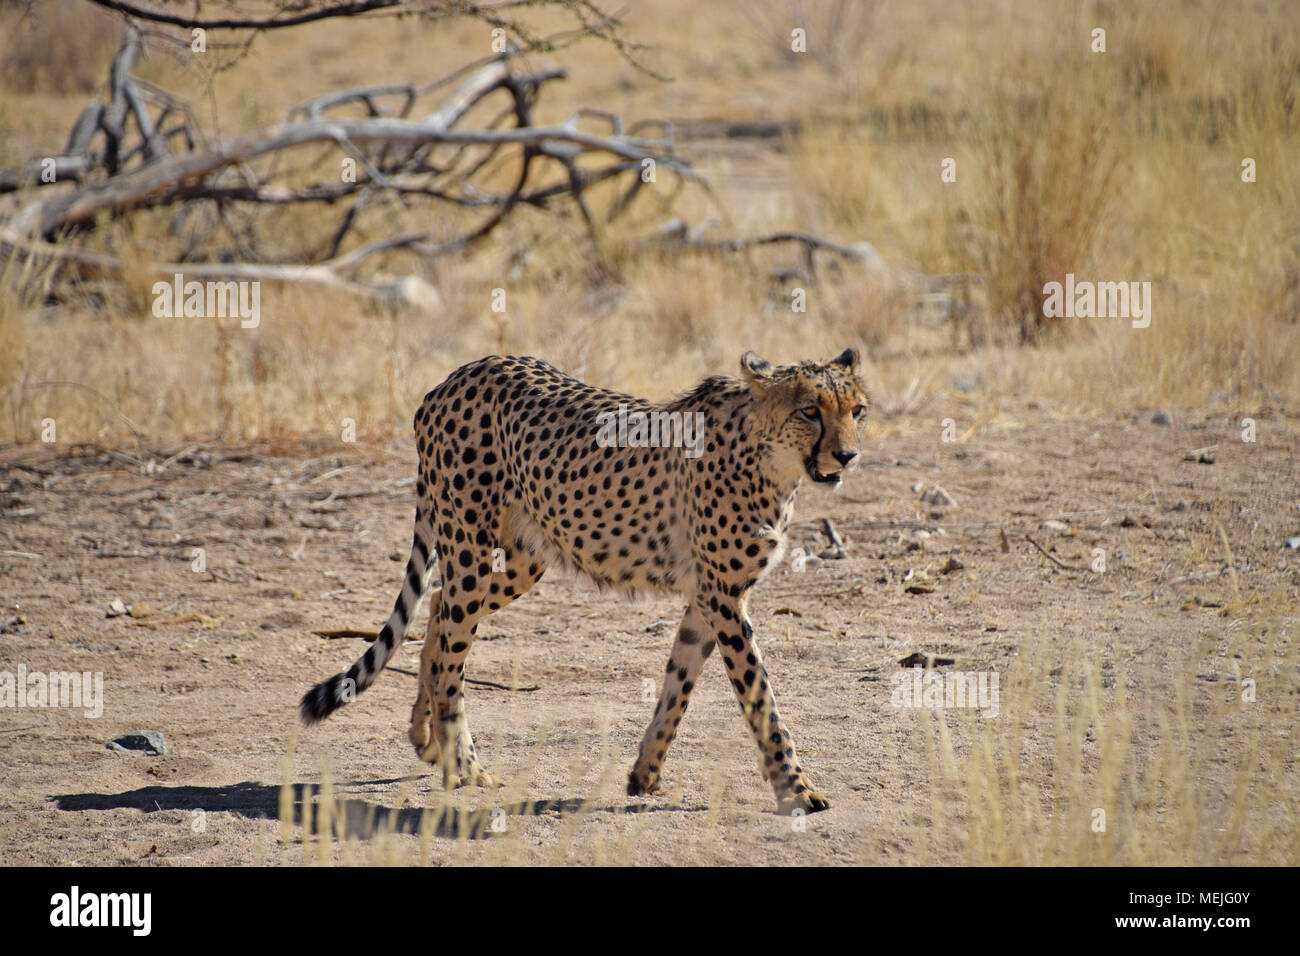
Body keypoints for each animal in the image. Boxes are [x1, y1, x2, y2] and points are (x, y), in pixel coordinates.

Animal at [299, 349, 869, 814]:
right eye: (810, 411)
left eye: (856, 411)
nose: (847, 456)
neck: (769, 458)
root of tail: (458, 374)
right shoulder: (722, 596)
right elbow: (760, 696)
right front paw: (796, 789)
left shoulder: (707, 598)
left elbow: (678, 684)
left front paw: (645, 775)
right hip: (471, 548)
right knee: (451, 648)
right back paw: (466, 766)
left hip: (522, 558)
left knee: (438, 608)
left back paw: (429, 739)